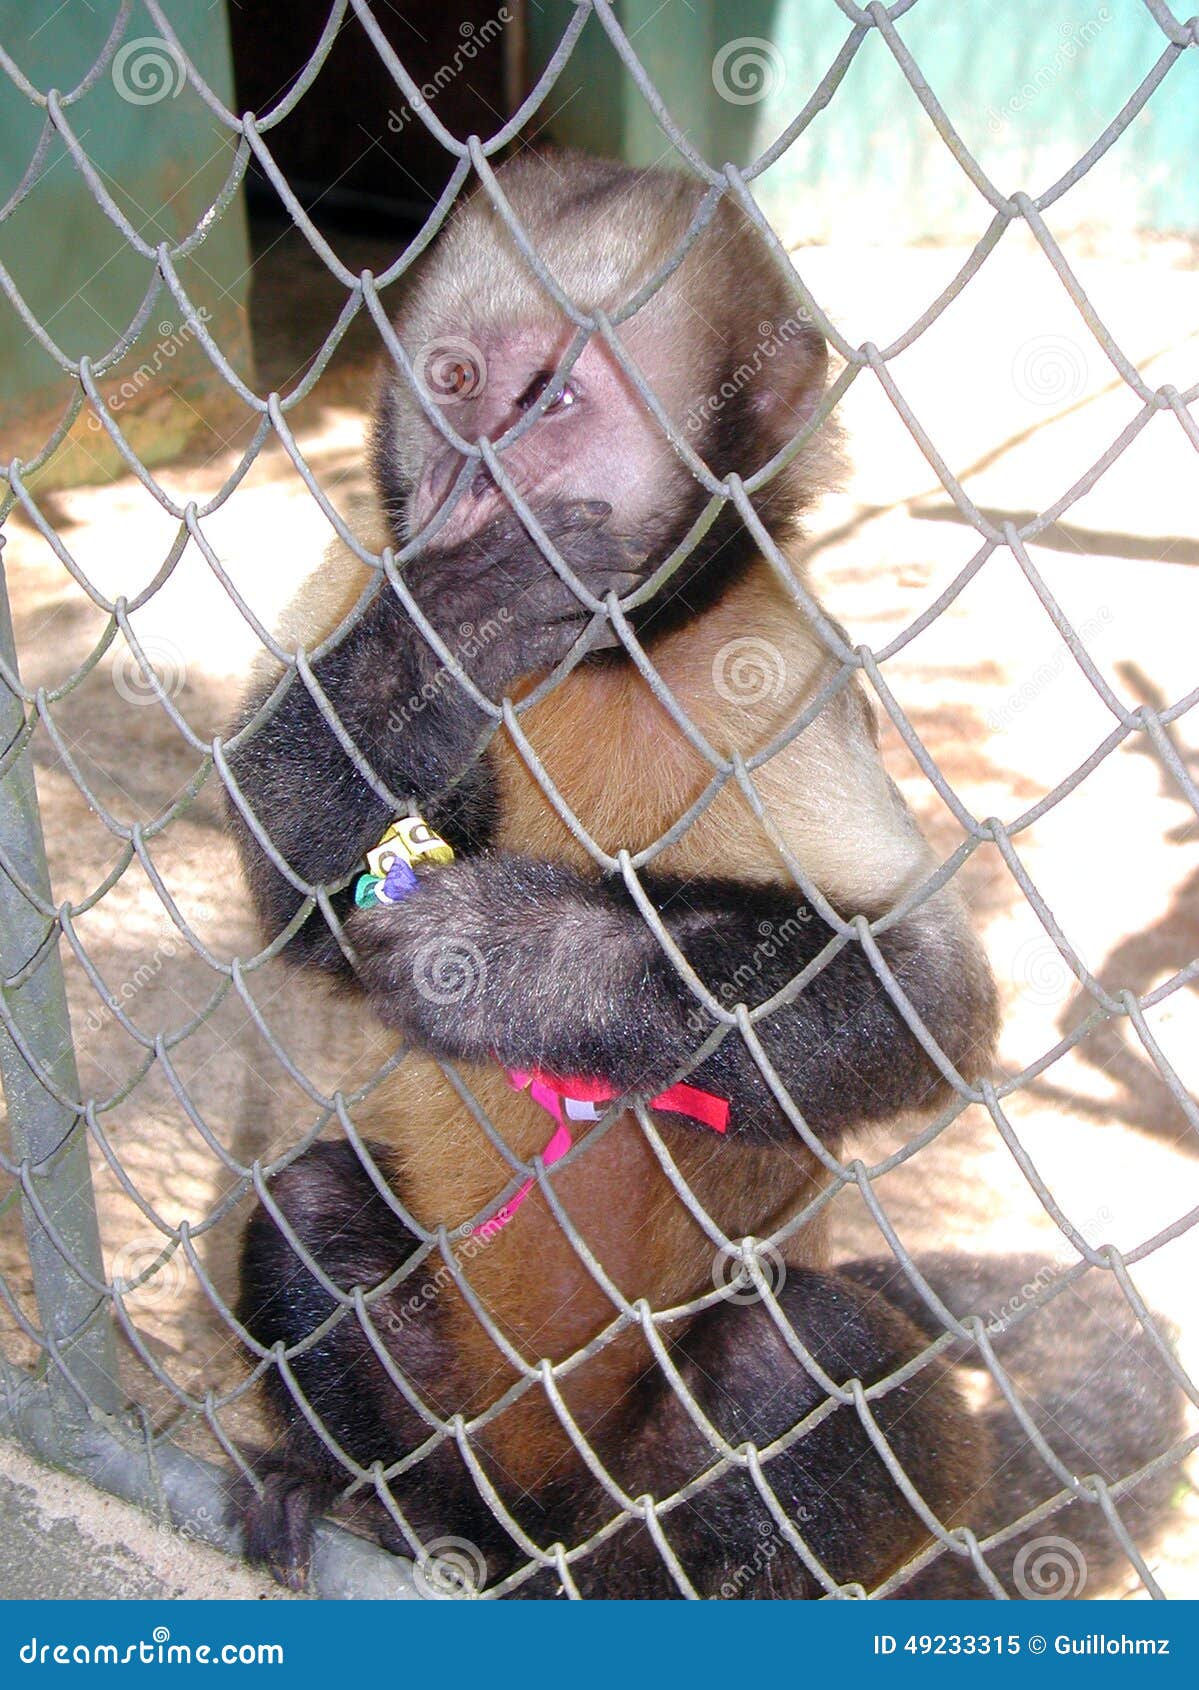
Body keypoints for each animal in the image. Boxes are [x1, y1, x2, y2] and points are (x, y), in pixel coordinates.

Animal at [224, 151, 1184, 1597]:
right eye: (455, 381)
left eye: (553, 399)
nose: (470, 476)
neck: (606, 652)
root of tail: (544, 1512)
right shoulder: (363, 556)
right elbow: (292, 880)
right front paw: (441, 638)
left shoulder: (785, 659)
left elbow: (929, 998)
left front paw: (518, 964)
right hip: (468, 1422)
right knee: (310, 1204)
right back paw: (392, 1510)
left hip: (672, 1480)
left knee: (792, 1365)